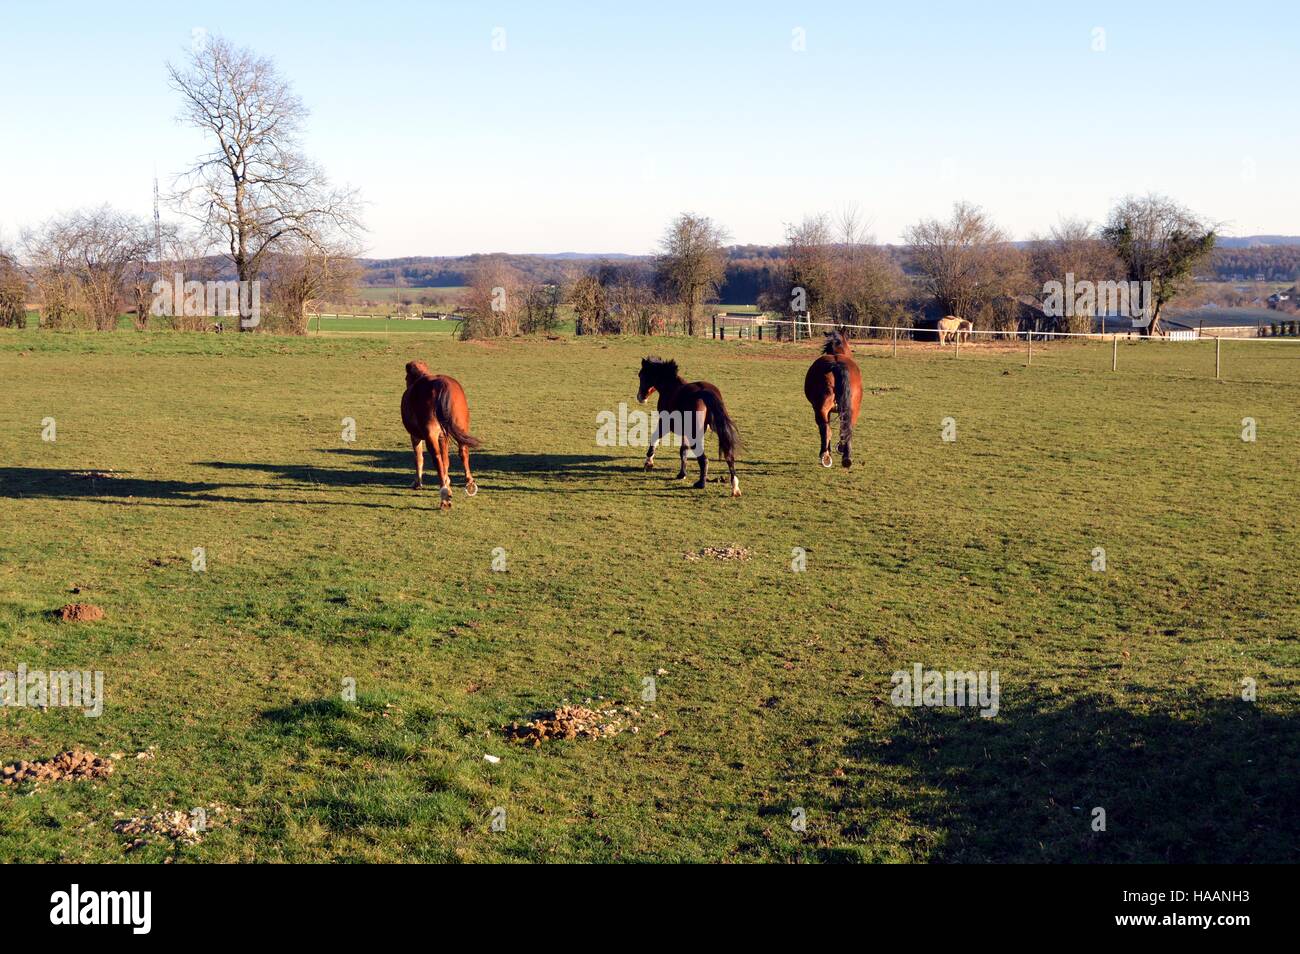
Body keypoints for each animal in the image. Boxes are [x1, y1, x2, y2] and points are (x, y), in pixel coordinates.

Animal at [400, 360, 481, 509]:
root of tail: (441, 384)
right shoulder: (443, 436)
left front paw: (418, 483)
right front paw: (447, 481)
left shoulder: (415, 437)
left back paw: (444, 496)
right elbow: (446, 461)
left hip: (430, 435)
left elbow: (418, 458)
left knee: (436, 458)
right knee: (462, 452)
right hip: (460, 429)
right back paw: (466, 482)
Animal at [636, 357, 740, 497]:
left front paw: (649, 462)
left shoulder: (665, 423)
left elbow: (654, 439)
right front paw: (682, 474)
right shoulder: (684, 431)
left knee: (704, 459)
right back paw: (735, 488)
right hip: (719, 431)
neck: (671, 387)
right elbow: (683, 450)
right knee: (729, 456)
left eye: (641, 375)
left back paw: (701, 484)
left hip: (694, 435)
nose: (640, 397)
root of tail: (705, 392)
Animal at [803, 329, 863, 468]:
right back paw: (845, 457)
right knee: (845, 427)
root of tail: (836, 364)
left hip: (822, 409)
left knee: (826, 429)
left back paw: (826, 455)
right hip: (851, 409)